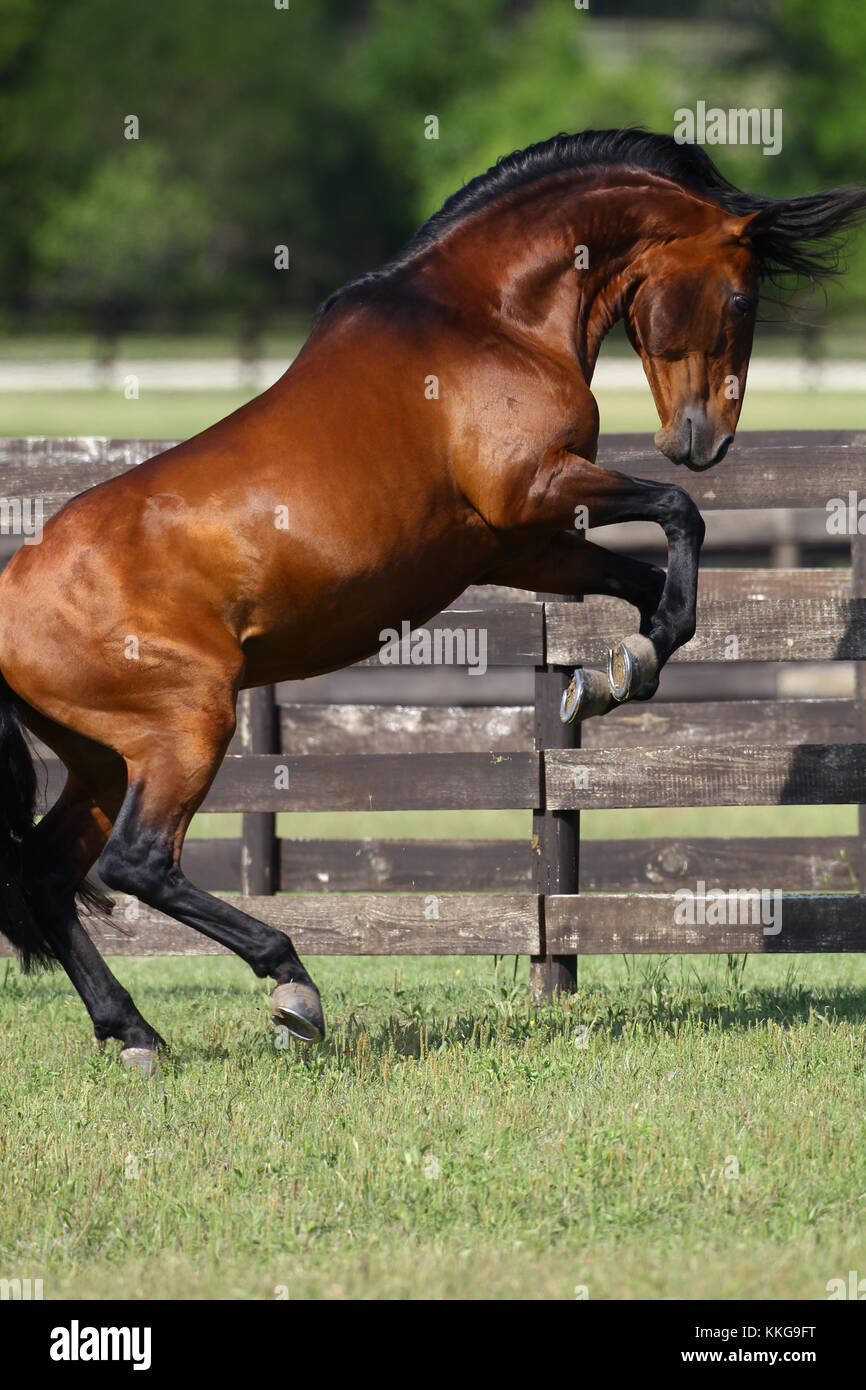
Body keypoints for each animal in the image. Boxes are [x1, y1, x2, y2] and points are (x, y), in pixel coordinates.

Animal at [1, 128, 863, 1072]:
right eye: (741, 297)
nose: (705, 441)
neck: (489, 319)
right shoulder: (535, 494)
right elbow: (680, 514)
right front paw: (630, 659)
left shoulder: (522, 542)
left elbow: (646, 585)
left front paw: (613, 675)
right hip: (185, 726)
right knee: (136, 864)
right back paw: (291, 986)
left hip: (102, 759)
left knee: (47, 875)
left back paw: (134, 1033)